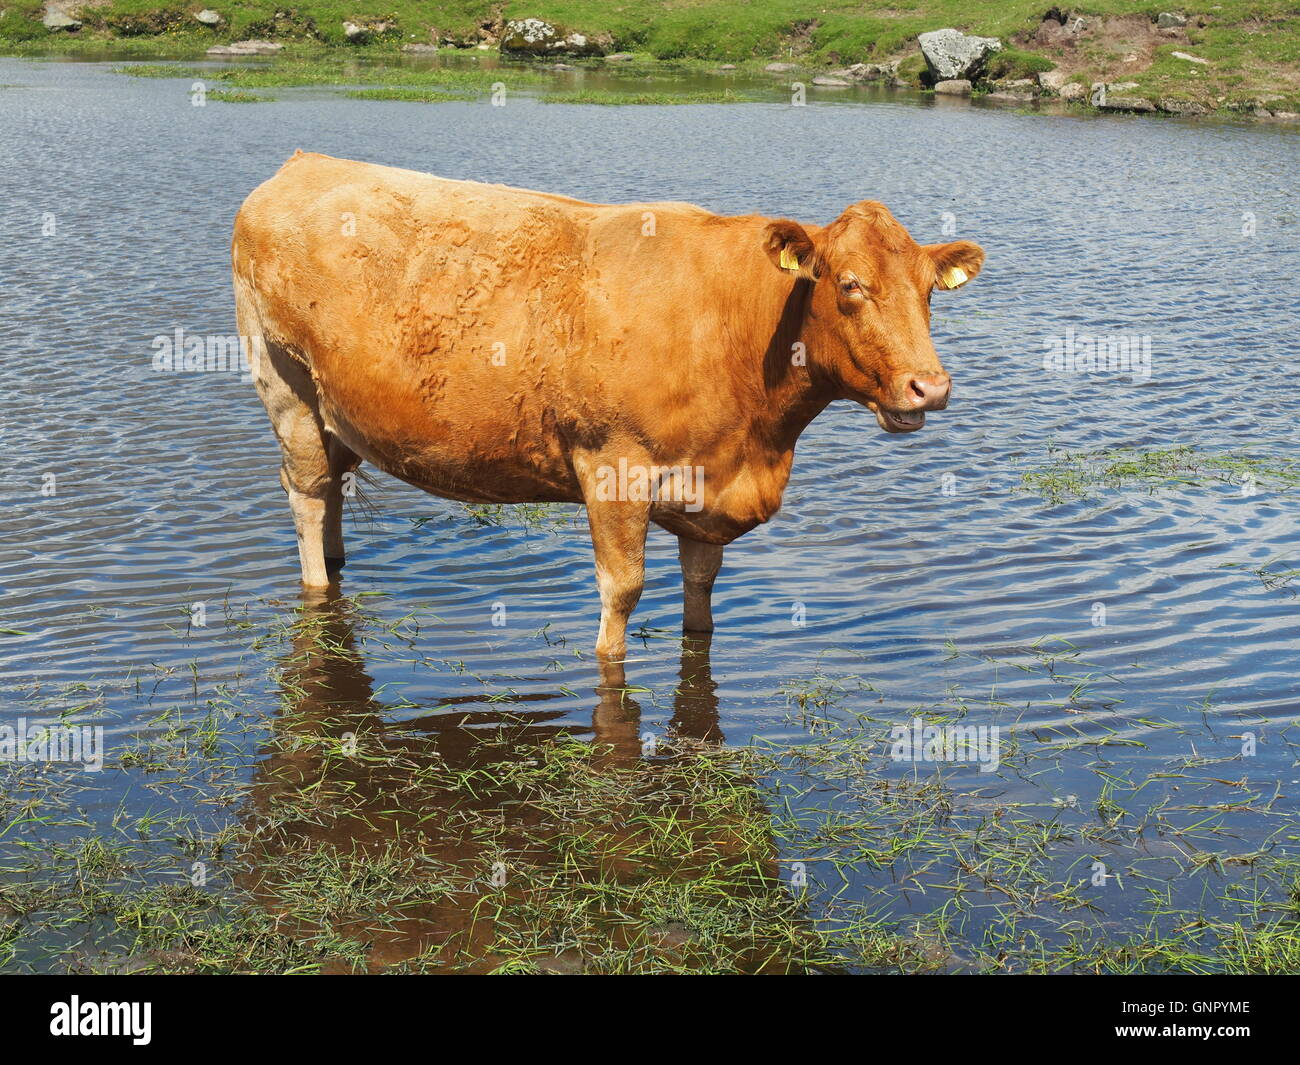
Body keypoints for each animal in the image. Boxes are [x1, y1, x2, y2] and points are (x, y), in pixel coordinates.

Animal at [232, 152, 985, 658]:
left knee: (332, 485)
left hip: (335, 410)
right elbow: (621, 593)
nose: (930, 386)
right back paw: (317, 583)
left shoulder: (706, 489)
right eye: (851, 285)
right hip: (285, 382)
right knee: (307, 491)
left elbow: (702, 590)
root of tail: (305, 164)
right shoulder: (613, 466)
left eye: (929, 289)